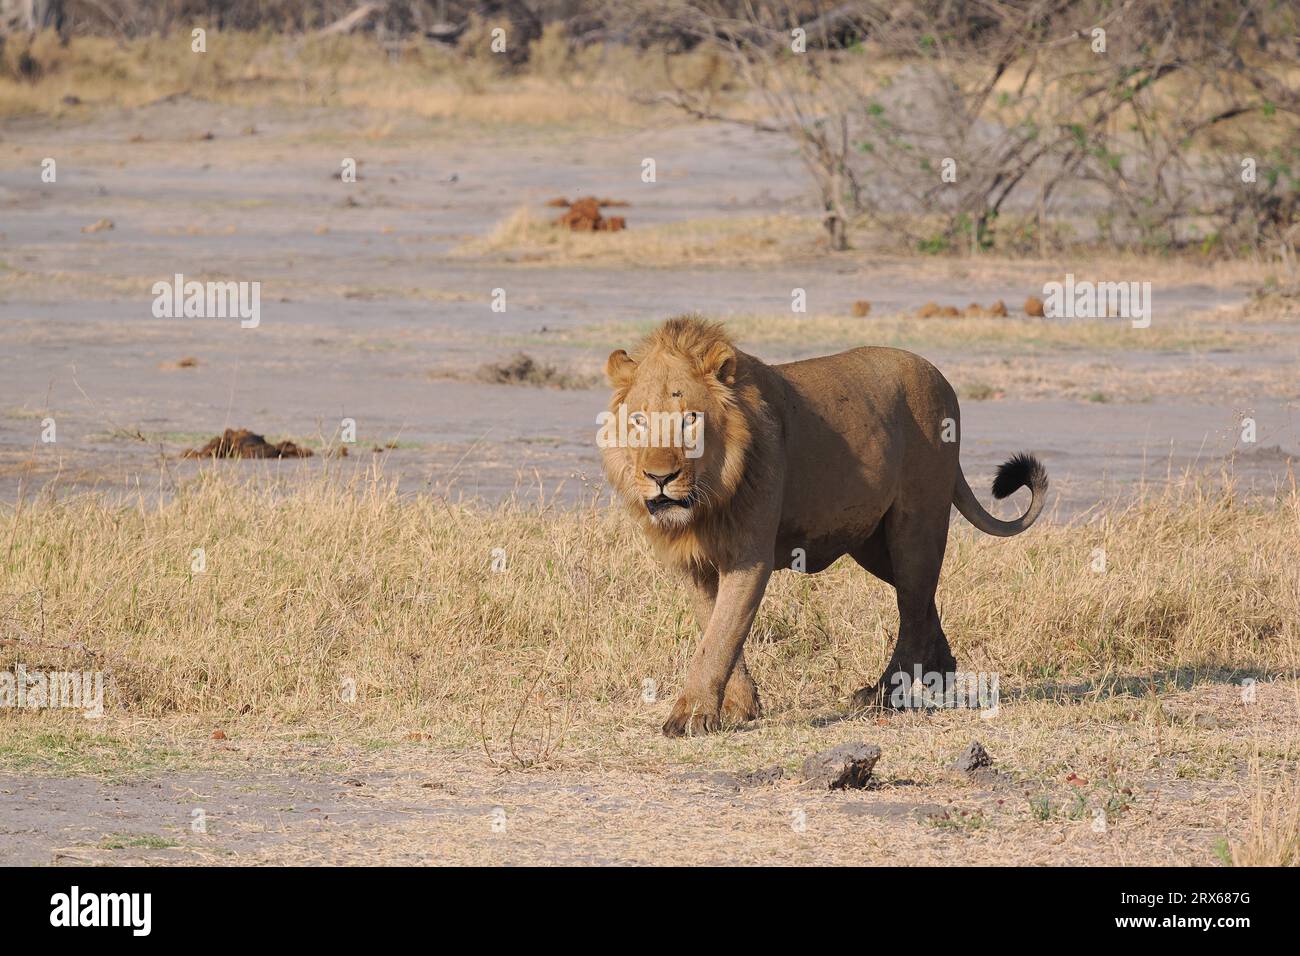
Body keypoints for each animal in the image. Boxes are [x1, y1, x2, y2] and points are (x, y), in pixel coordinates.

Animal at [601, 315, 1047, 736]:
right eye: (639, 421)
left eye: (690, 420)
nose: (659, 477)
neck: (709, 499)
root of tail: (941, 378)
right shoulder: (695, 564)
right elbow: (719, 632)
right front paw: (741, 707)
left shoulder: (750, 557)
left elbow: (719, 638)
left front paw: (691, 716)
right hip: (873, 546)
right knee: (920, 601)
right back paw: (939, 669)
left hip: (916, 526)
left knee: (911, 608)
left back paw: (883, 694)